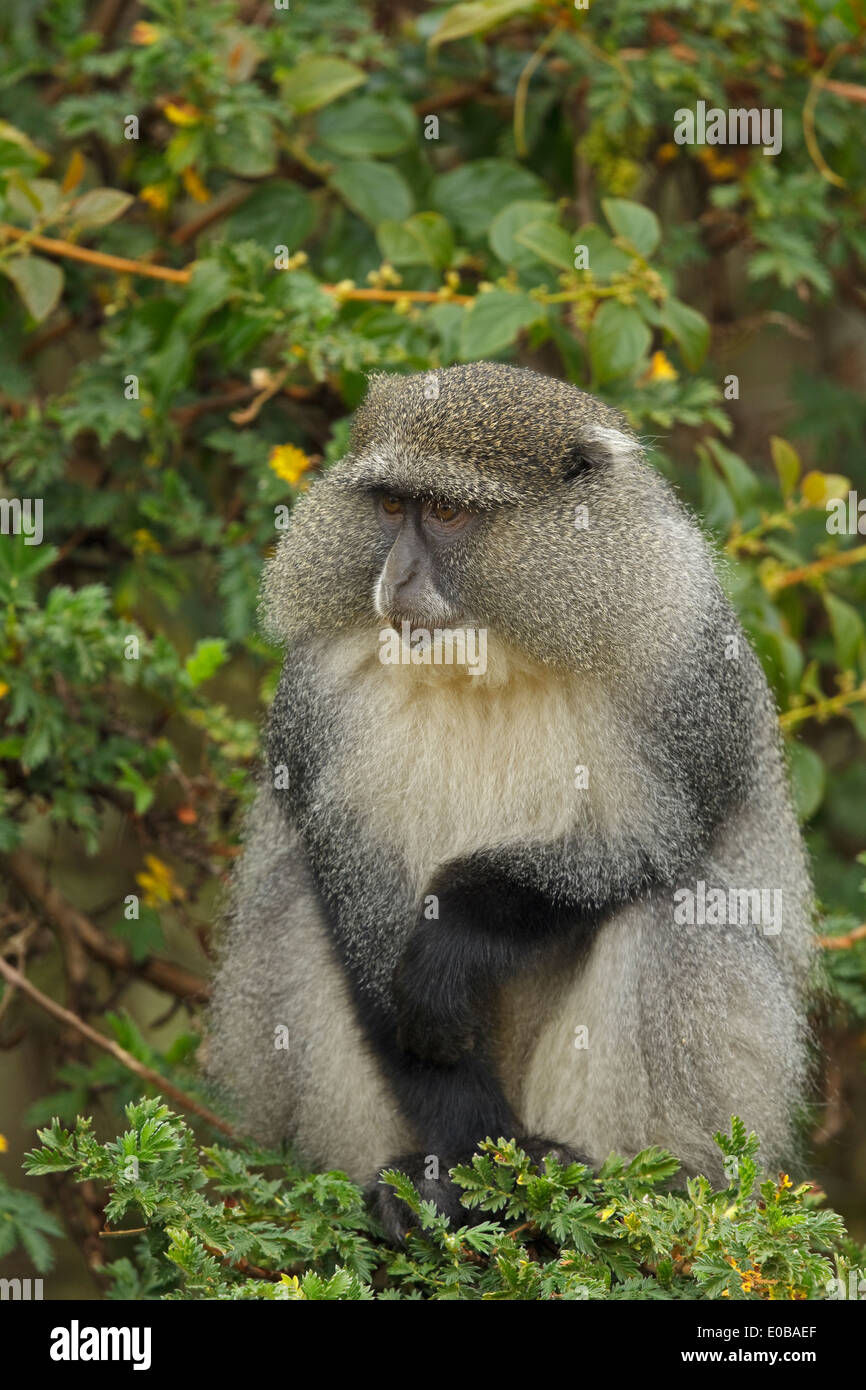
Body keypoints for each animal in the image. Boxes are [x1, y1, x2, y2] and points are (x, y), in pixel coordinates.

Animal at [207, 361, 815, 1242]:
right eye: (390, 507)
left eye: (447, 513)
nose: (394, 581)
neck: (496, 654)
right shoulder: (317, 693)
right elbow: (358, 911)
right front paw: (463, 1163)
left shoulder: (681, 660)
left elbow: (646, 848)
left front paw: (453, 935)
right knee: (294, 900)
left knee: (679, 911)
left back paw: (617, 1187)